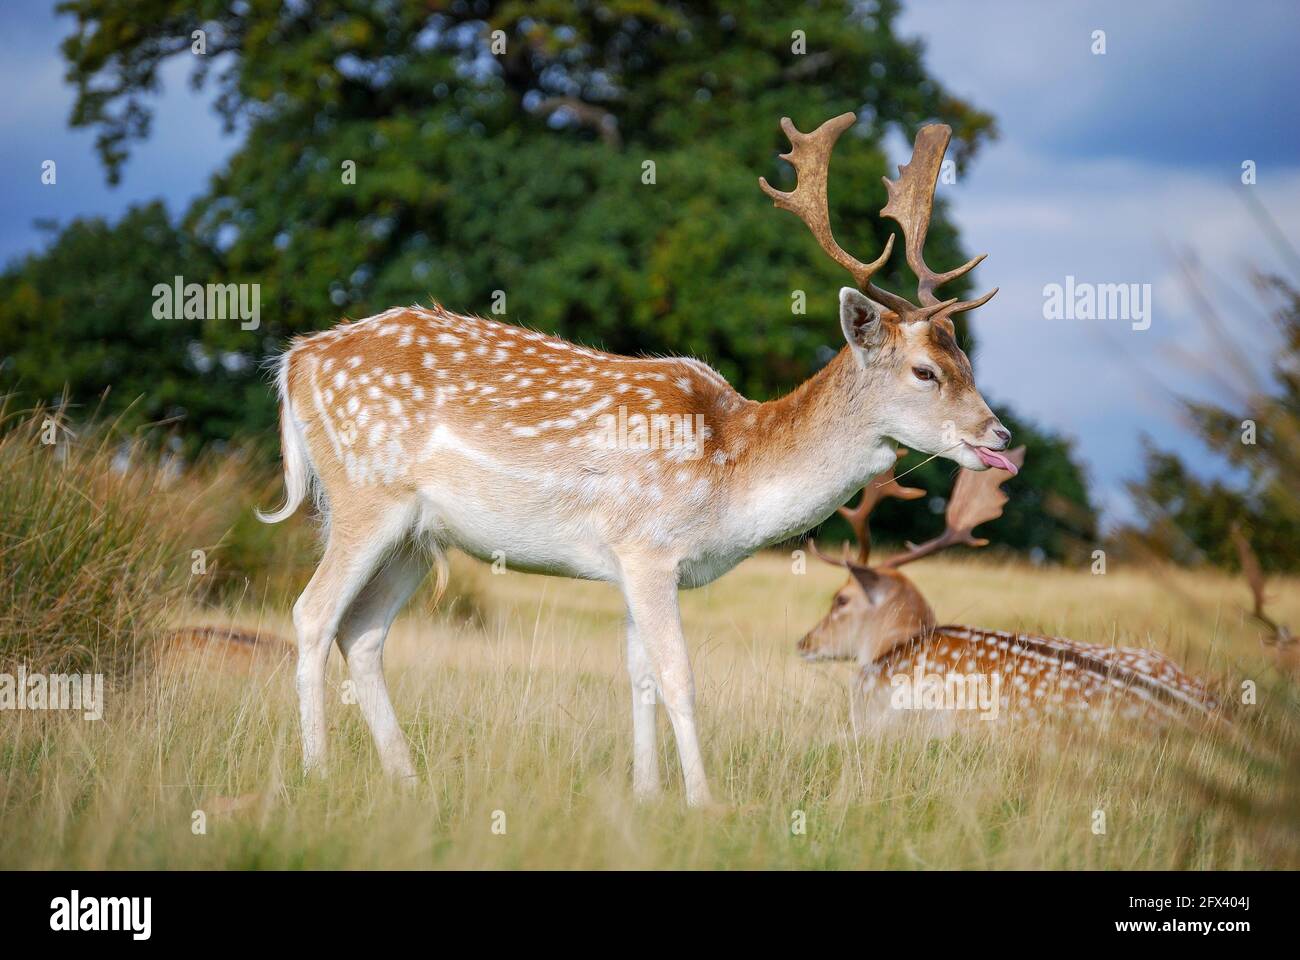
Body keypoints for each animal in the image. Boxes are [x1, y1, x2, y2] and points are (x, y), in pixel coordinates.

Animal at [257, 113, 1015, 807]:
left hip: (418, 534)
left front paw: (647, 795)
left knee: (362, 632)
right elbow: (678, 675)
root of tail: (295, 361)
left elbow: (640, 675)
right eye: (924, 372)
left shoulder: (628, 559)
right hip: (365, 495)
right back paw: (316, 774)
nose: (1000, 436)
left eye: (967, 360)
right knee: (312, 613)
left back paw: (406, 779)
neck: (732, 474)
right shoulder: (650, 547)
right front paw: (702, 802)